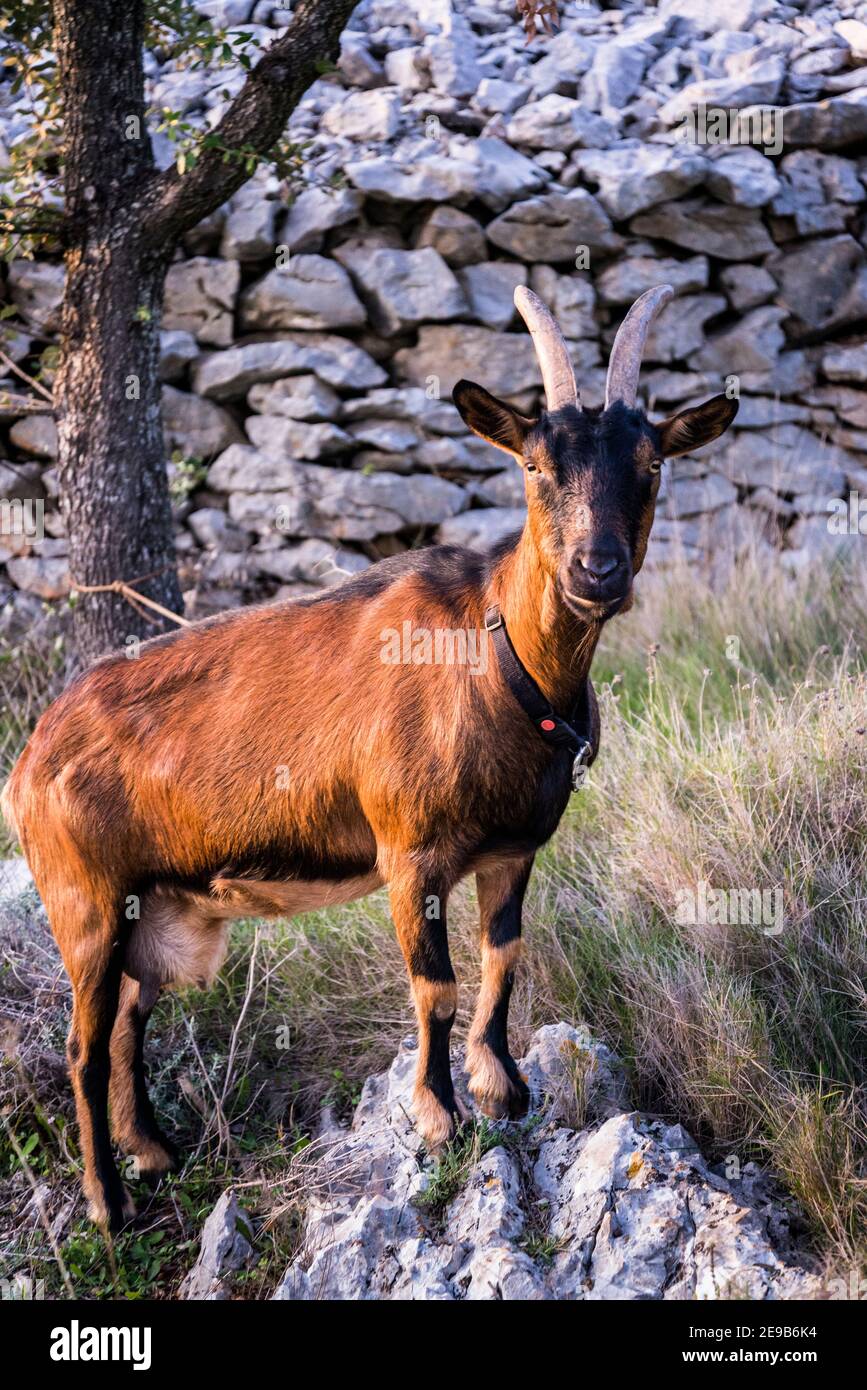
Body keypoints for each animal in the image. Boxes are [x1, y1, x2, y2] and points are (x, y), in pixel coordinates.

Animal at [2, 285, 738, 1230]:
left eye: (650, 463)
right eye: (535, 466)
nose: (596, 570)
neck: (495, 658)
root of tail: (31, 755)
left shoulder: (512, 852)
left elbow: (504, 958)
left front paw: (502, 1089)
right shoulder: (409, 854)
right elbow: (436, 987)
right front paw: (439, 1116)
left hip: (153, 907)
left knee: (131, 1019)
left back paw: (155, 1153)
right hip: (82, 900)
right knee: (83, 1044)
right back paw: (107, 1202)